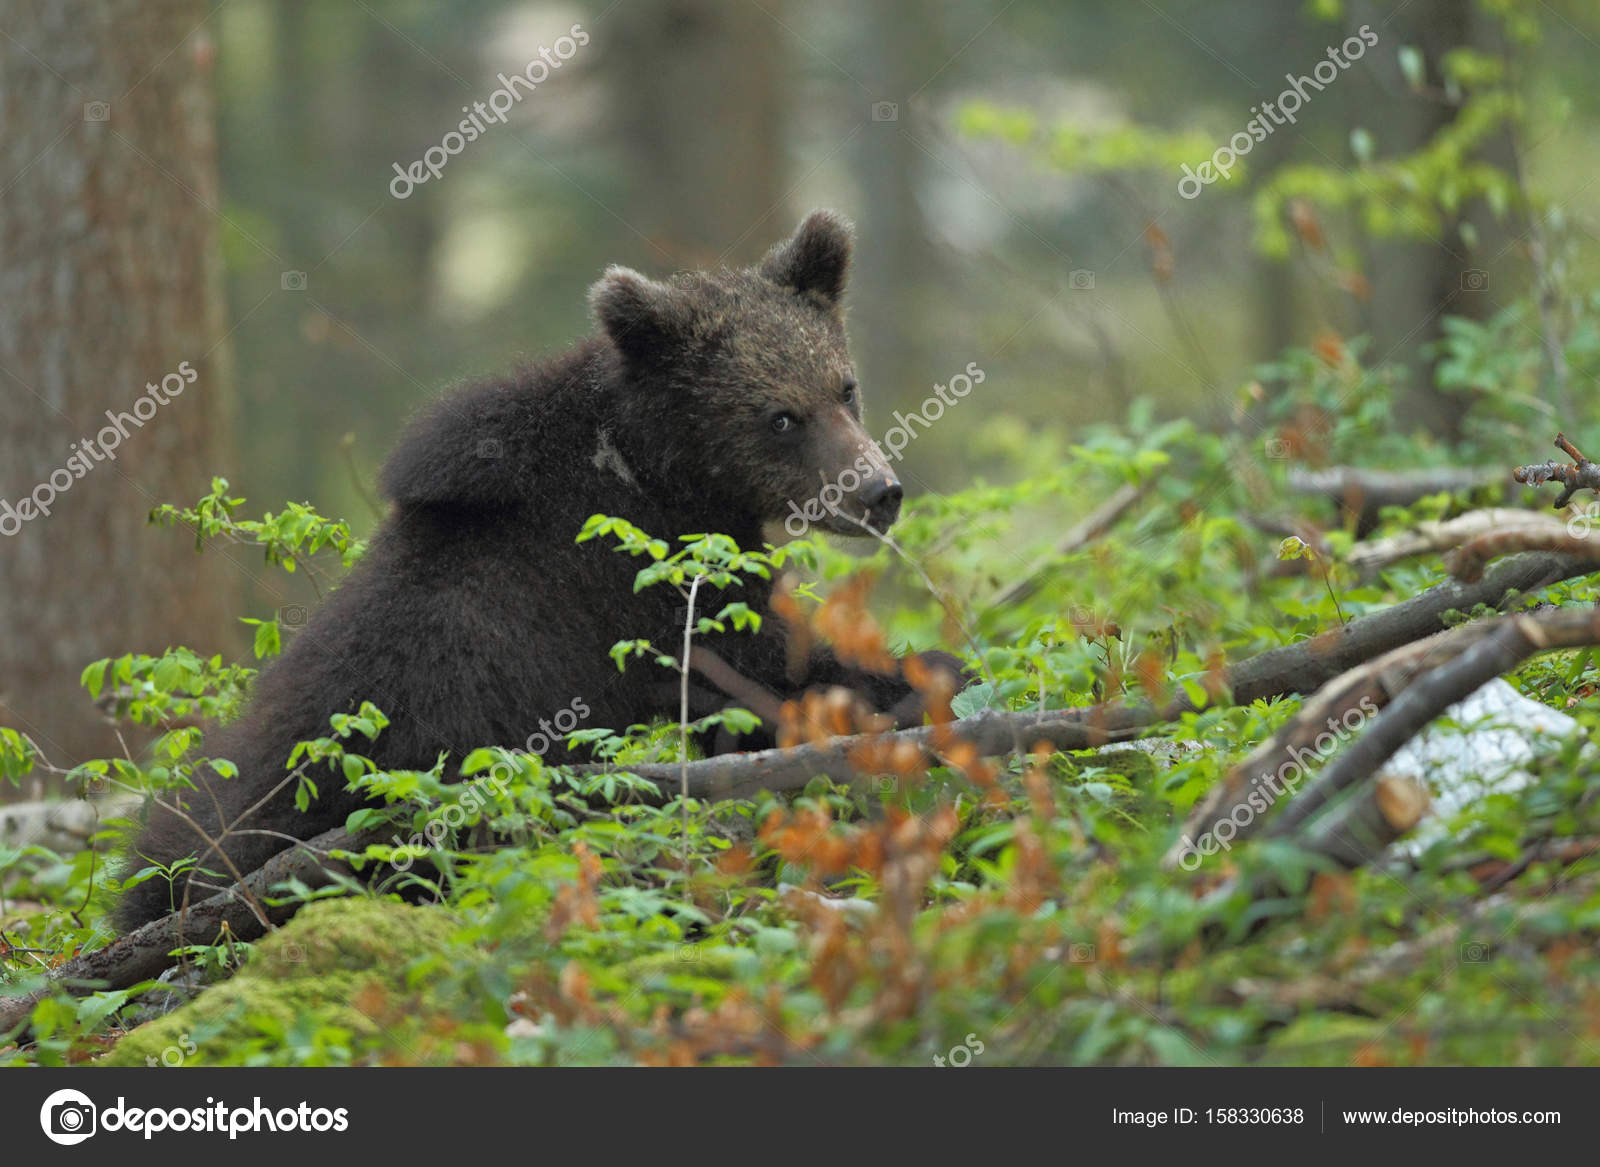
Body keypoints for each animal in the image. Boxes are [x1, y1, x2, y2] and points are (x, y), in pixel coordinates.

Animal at [114, 210, 959, 932]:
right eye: (780, 416)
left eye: (845, 386)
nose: (878, 491)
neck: (657, 470)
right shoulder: (635, 583)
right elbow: (765, 667)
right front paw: (928, 674)